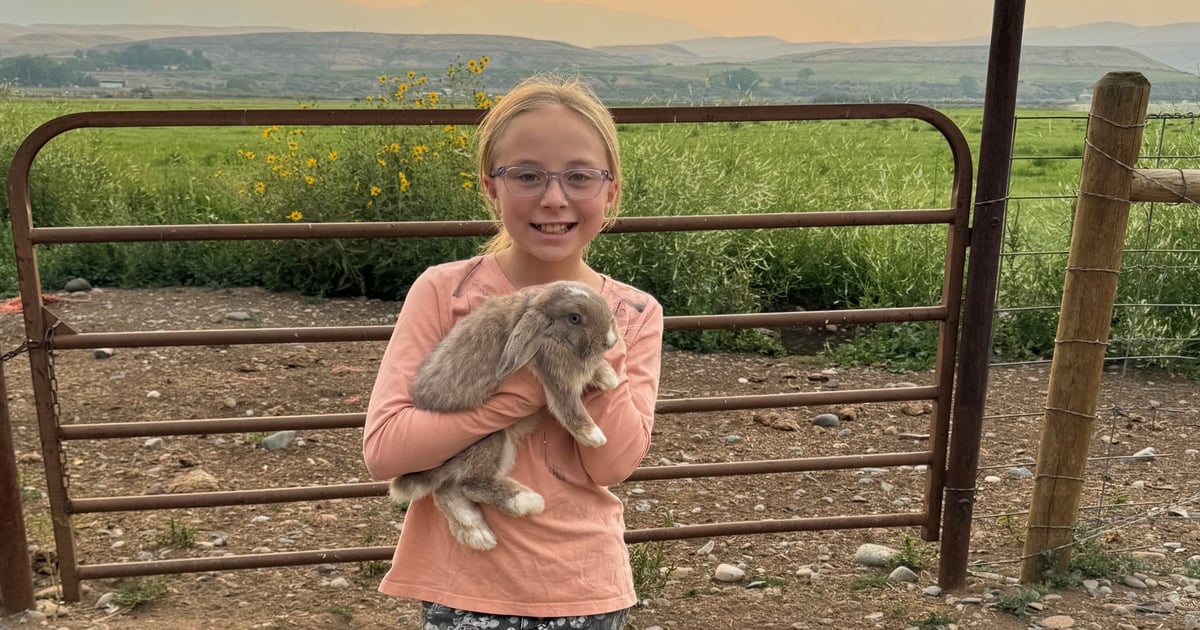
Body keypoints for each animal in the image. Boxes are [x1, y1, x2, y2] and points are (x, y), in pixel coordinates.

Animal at [389, 280, 621, 550]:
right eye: (575, 318)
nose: (610, 340)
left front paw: (608, 377)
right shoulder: (554, 372)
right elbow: (567, 406)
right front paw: (594, 436)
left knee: (447, 490)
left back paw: (477, 534)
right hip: (492, 440)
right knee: (468, 484)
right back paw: (524, 502)